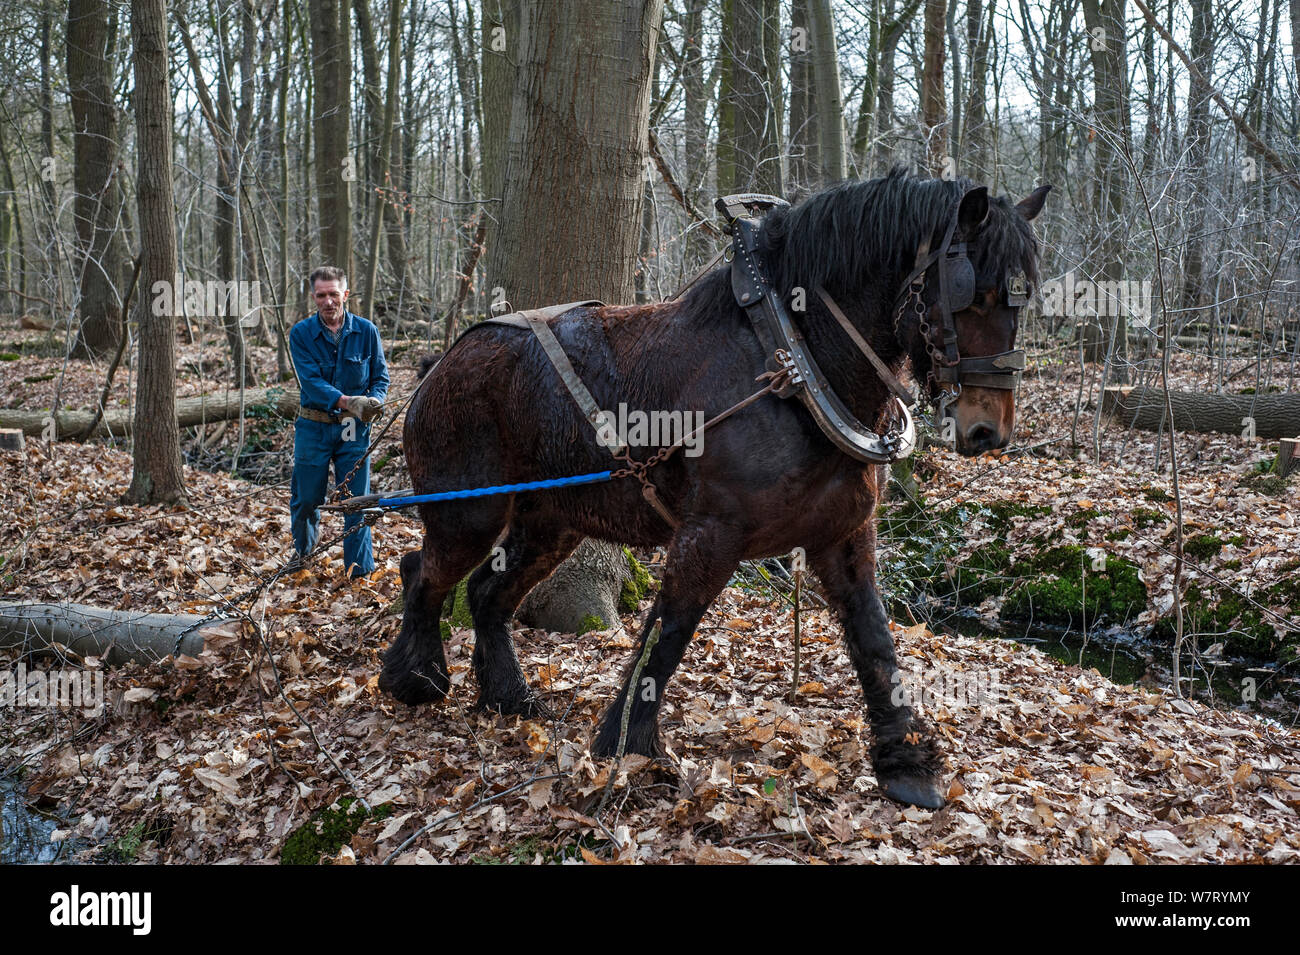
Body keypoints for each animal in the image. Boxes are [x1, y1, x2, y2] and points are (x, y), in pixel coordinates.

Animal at [380, 169, 1050, 809]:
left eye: (1022, 298)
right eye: (974, 294)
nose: (989, 429)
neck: (793, 360)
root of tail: (442, 362)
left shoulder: (845, 533)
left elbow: (875, 642)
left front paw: (906, 766)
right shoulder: (709, 534)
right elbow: (668, 635)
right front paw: (626, 747)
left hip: (551, 521)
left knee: (485, 593)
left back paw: (508, 697)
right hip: (468, 512)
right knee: (423, 572)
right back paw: (413, 679)